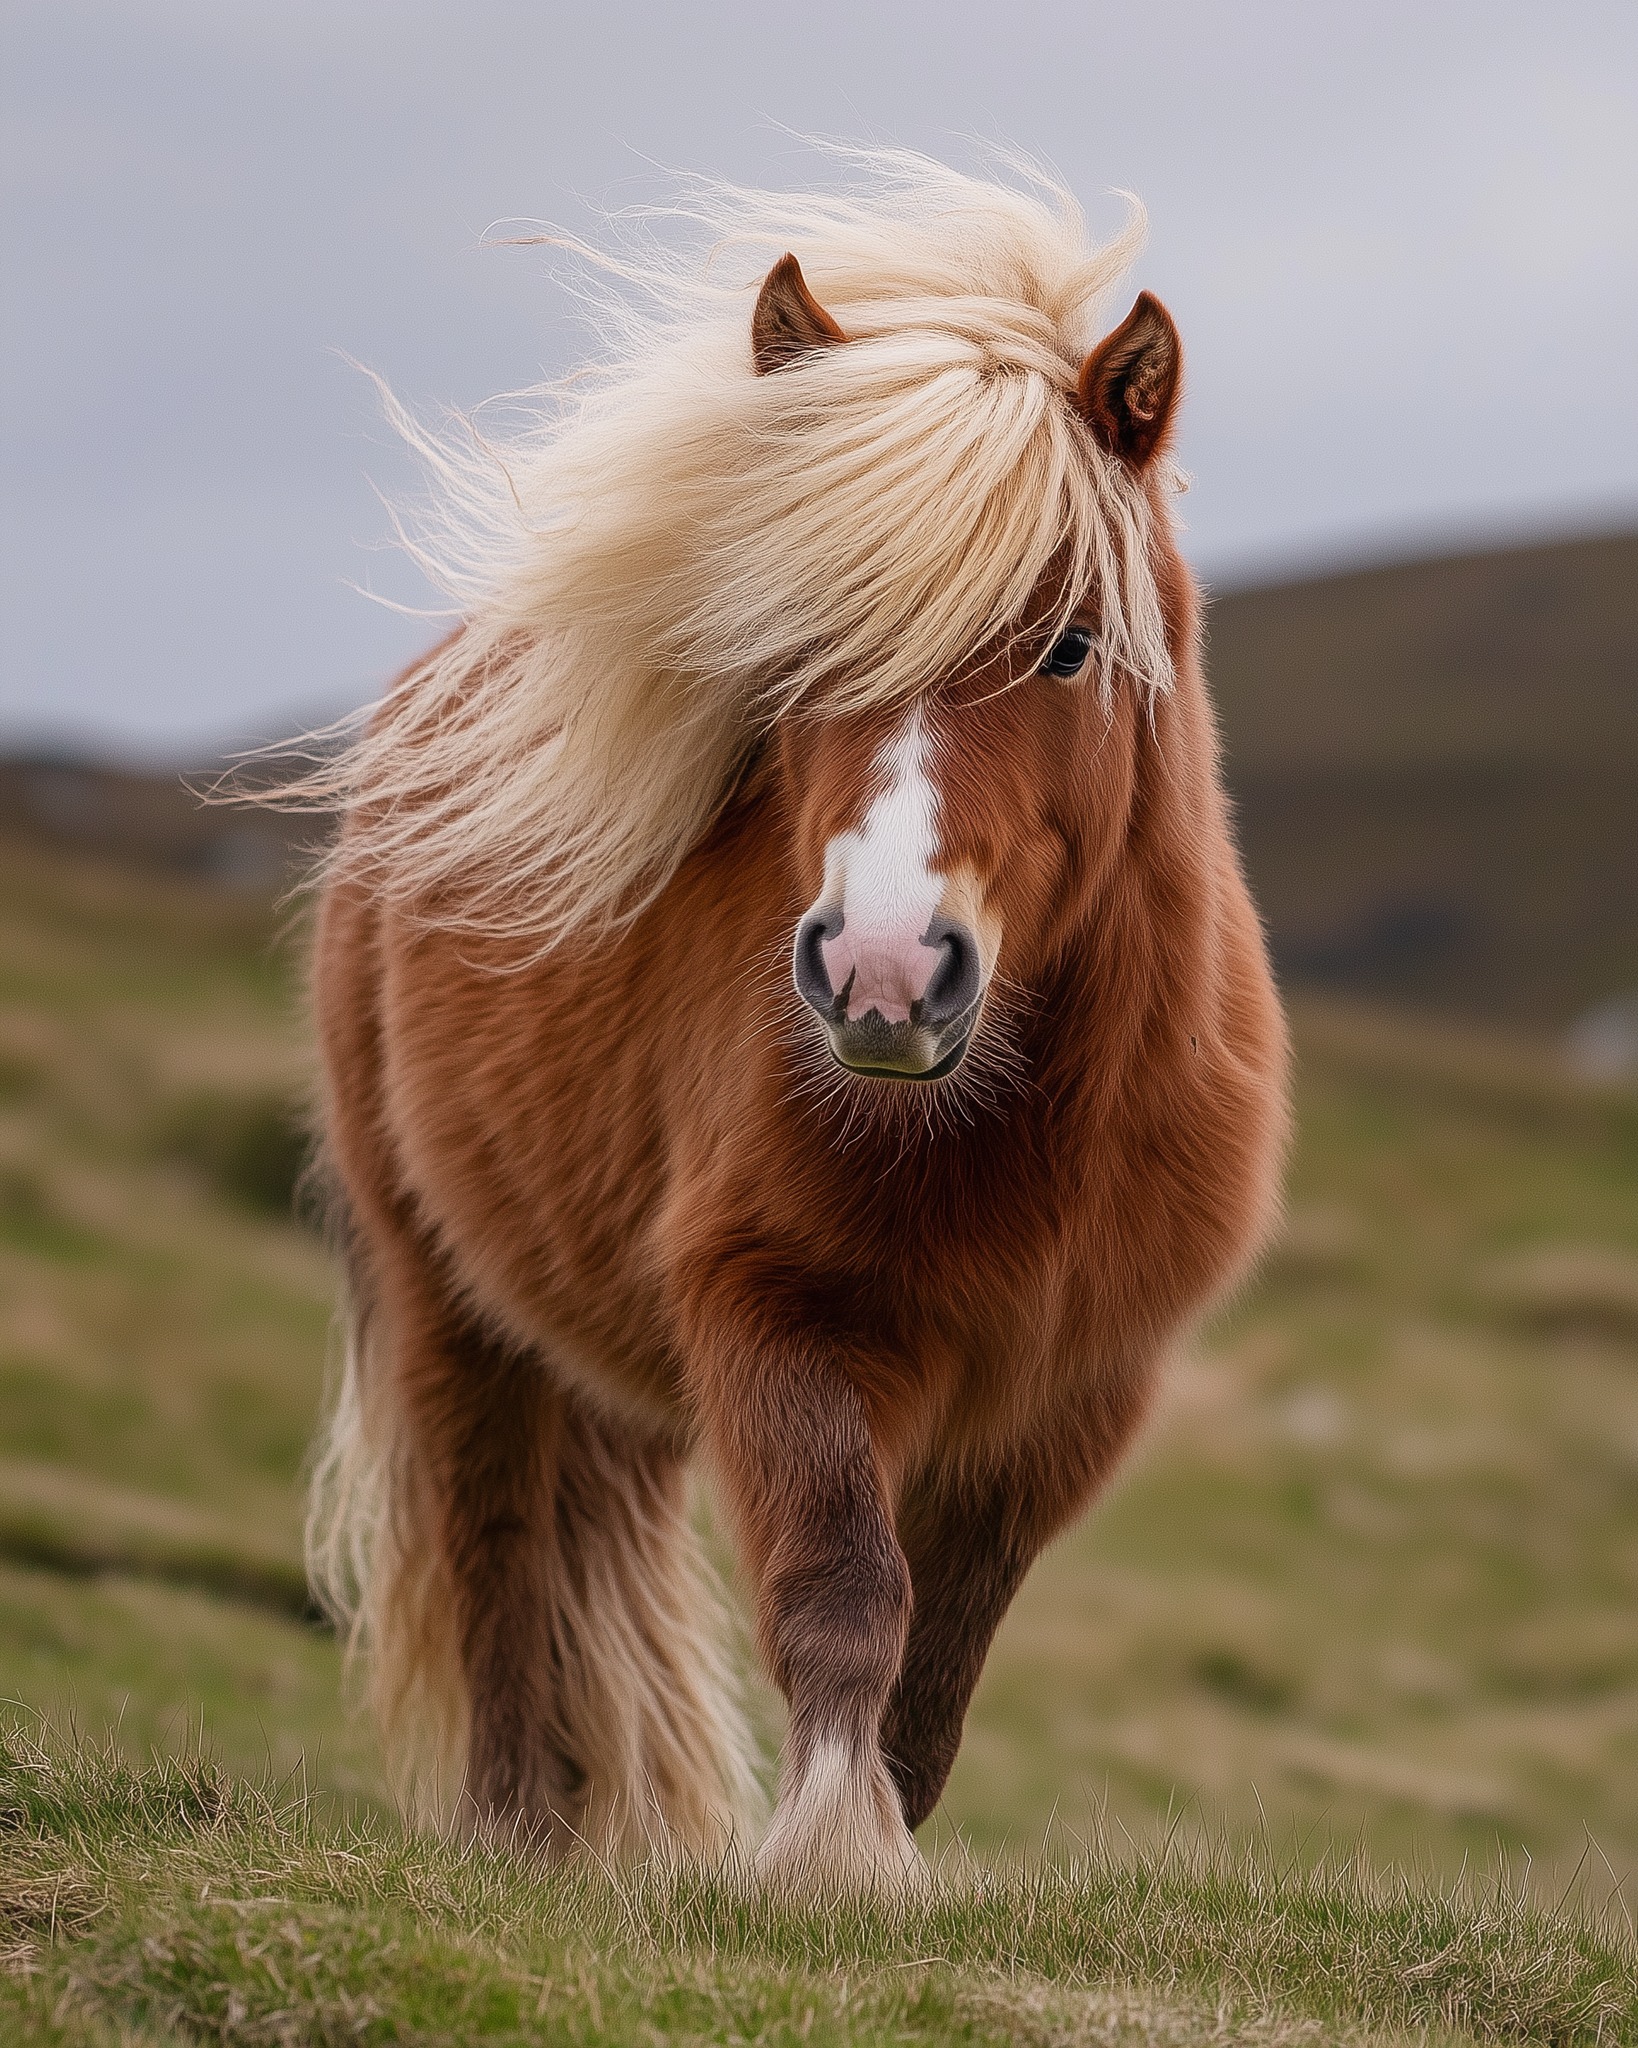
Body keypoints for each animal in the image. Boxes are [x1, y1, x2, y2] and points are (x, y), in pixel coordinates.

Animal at [297, 155, 1289, 1893]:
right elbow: (841, 1596)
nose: (882, 974)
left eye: (1068, 644)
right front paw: (827, 1864)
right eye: (797, 649)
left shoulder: (1069, 1399)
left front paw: (875, 1840)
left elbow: (941, 1665)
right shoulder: (777, 1316)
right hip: (445, 1296)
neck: (1020, 1128)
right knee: (494, 1557)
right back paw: (514, 1839)